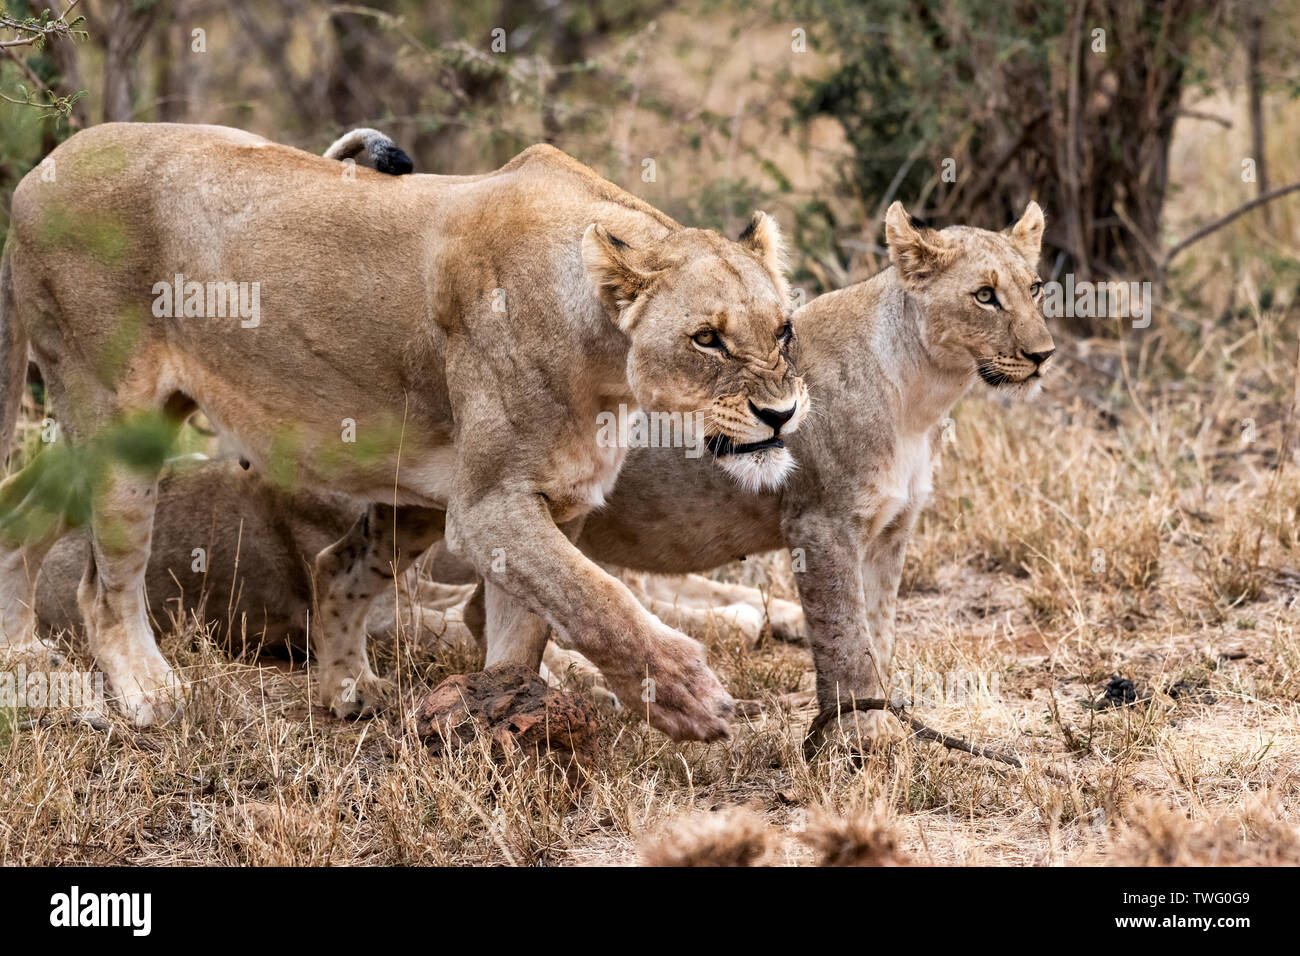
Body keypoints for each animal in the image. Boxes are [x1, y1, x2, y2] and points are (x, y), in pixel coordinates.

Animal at [0, 122, 808, 739]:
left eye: (784, 329)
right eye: (706, 339)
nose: (782, 414)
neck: (606, 358)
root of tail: (35, 174)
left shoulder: (552, 500)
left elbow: (523, 633)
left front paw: (509, 727)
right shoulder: (488, 507)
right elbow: (597, 601)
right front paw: (686, 696)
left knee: (27, 513)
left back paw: (26, 669)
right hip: (116, 418)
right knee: (104, 590)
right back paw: (150, 696)